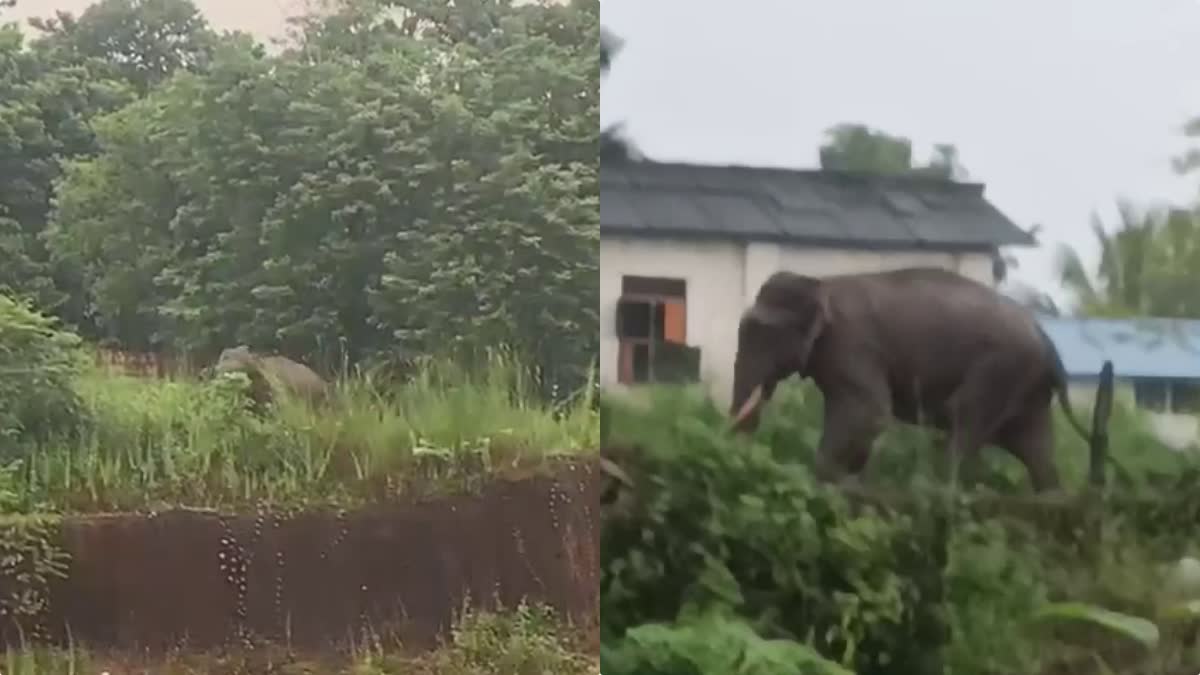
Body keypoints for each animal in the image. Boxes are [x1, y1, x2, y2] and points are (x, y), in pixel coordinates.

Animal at [728, 267, 1106, 493]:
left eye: (761, 333)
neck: (821, 284)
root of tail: (1049, 344)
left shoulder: (851, 344)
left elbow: (869, 412)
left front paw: (831, 481)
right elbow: (863, 419)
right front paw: (853, 481)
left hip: (1002, 370)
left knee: (962, 423)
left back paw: (937, 490)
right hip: (1028, 390)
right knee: (1034, 449)